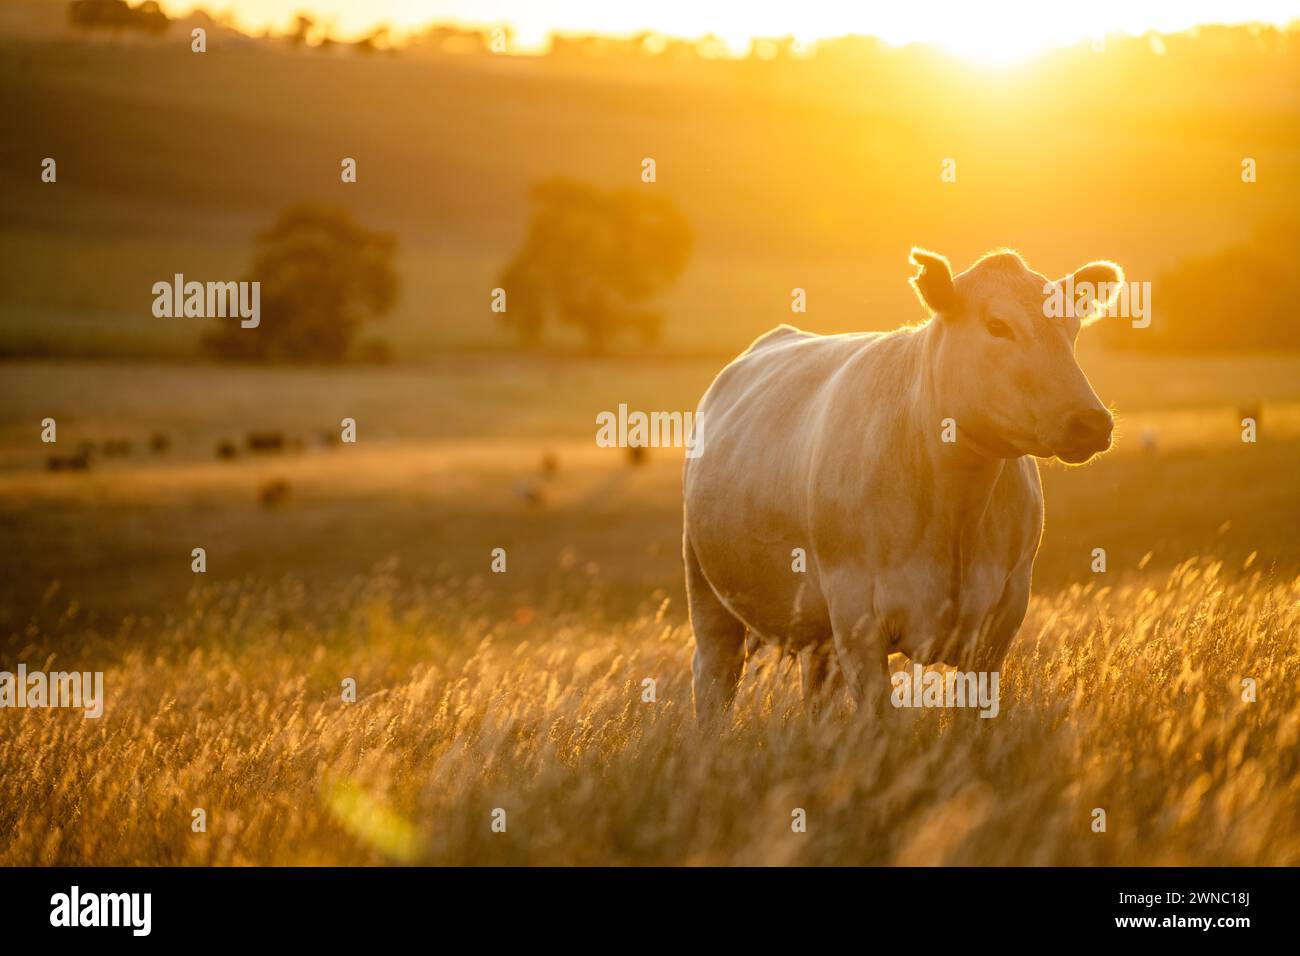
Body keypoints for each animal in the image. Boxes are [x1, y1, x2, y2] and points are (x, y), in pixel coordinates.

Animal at [682, 247, 1124, 719]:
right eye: (997, 325)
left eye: (1072, 329)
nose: (1090, 422)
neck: (954, 510)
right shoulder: (856, 617)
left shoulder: (1002, 617)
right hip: (707, 591)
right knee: (714, 677)